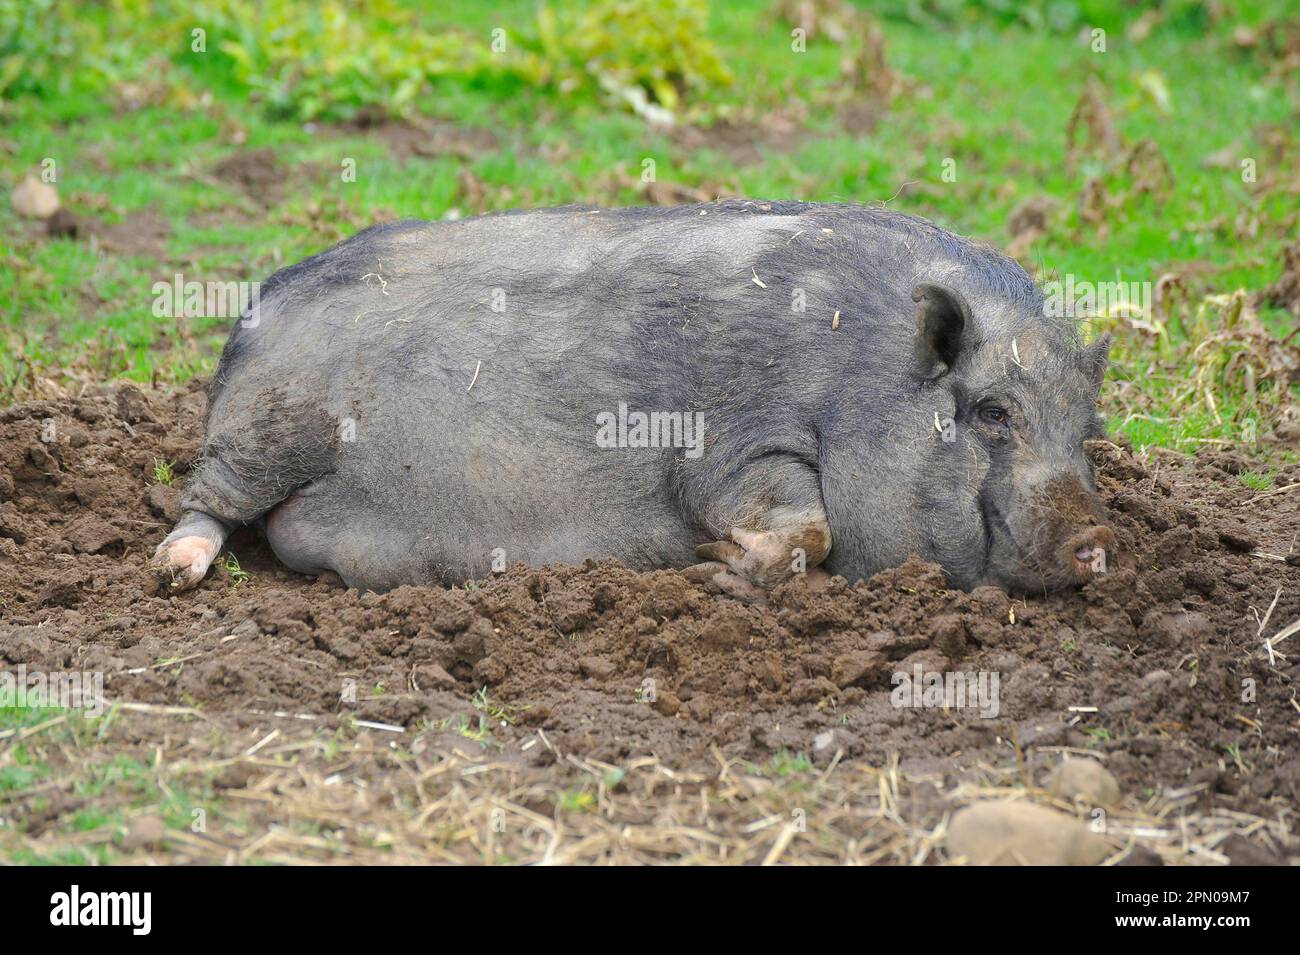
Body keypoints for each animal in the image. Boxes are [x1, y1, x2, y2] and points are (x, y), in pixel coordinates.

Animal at [153, 200, 1115, 598]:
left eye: (1087, 430)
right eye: (992, 413)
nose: (1098, 539)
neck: (860, 384)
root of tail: (259, 301)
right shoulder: (731, 440)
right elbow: (806, 524)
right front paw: (712, 562)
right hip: (267, 427)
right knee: (204, 501)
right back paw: (173, 572)